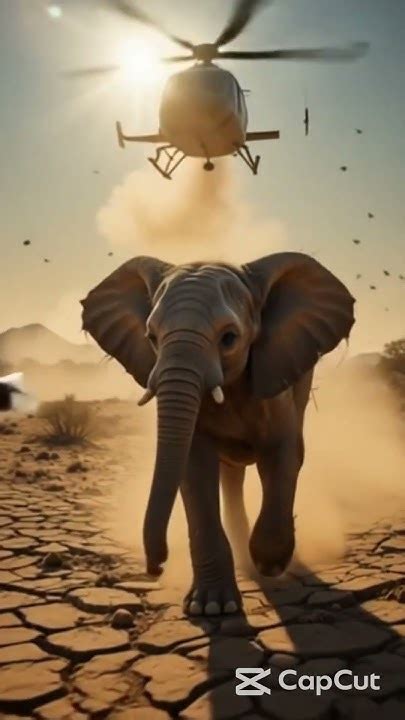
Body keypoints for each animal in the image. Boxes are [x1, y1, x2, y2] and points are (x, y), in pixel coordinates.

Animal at [81, 252, 355, 616]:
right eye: (151, 338)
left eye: (229, 338)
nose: (155, 567)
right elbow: (194, 468)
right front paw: (211, 607)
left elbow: (283, 455)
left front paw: (269, 564)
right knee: (231, 475)